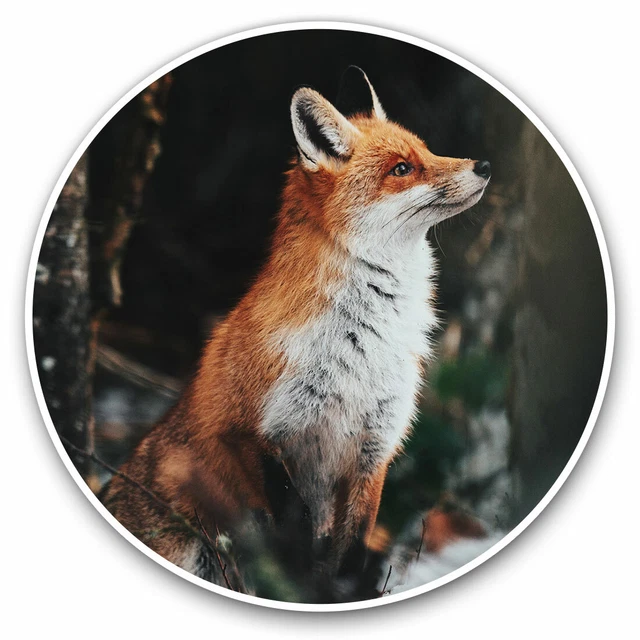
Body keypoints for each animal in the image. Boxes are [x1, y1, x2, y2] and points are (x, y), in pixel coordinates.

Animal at [101, 66, 491, 594]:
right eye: (401, 169)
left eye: (428, 152)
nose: (484, 165)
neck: (361, 347)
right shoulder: (250, 432)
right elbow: (294, 539)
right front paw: (303, 588)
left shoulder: (375, 448)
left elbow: (349, 553)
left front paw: (337, 593)